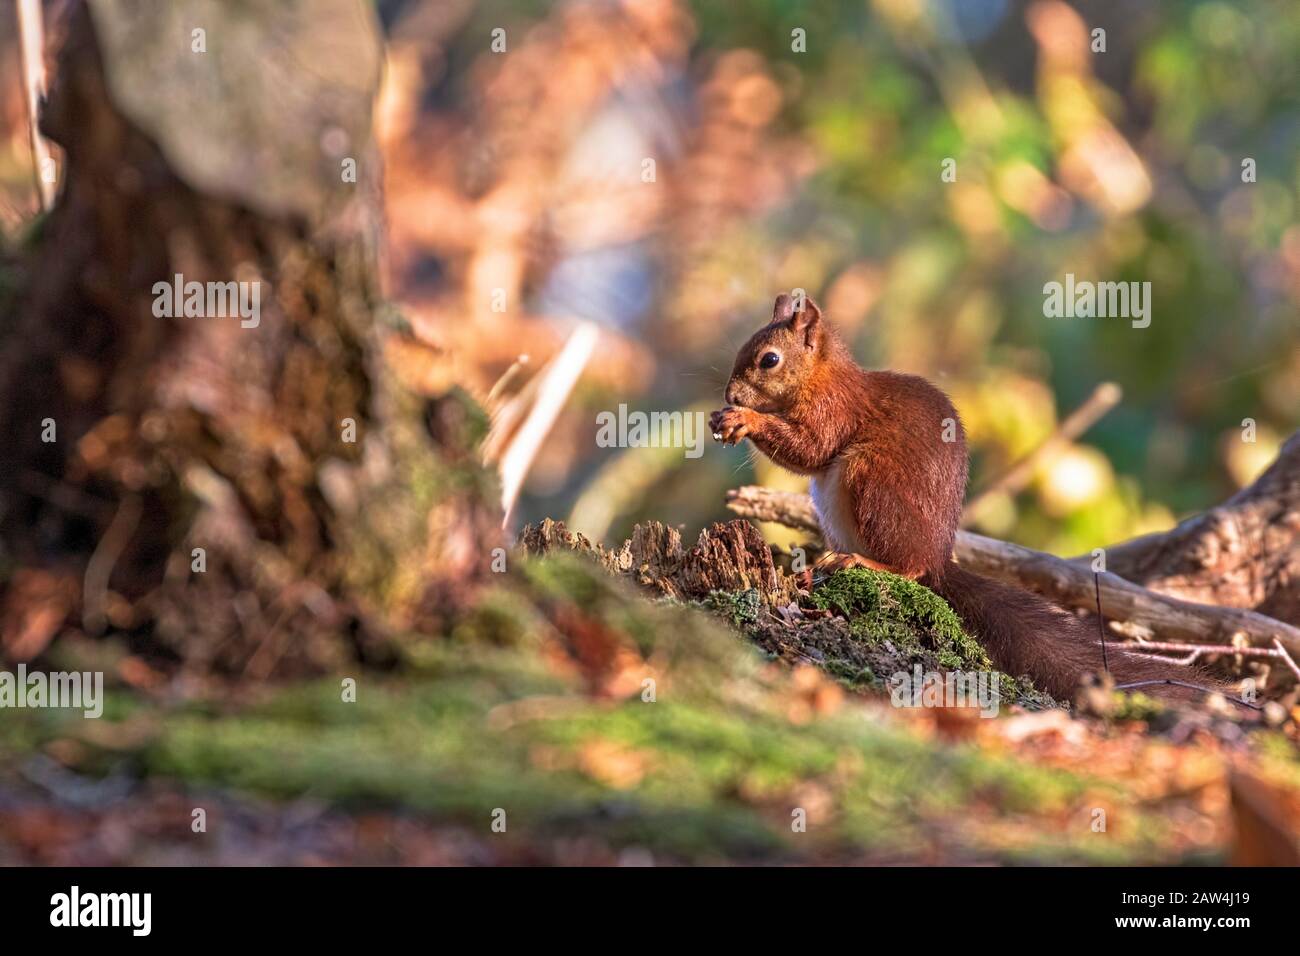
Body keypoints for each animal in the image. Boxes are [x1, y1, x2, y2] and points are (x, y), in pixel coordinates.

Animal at [710, 293, 1220, 703]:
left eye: (769, 360)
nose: (730, 394)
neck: (820, 378)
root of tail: (940, 553)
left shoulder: (834, 410)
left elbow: (810, 448)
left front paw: (745, 420)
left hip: (873, 482)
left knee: (912, 569)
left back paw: (863, 562)